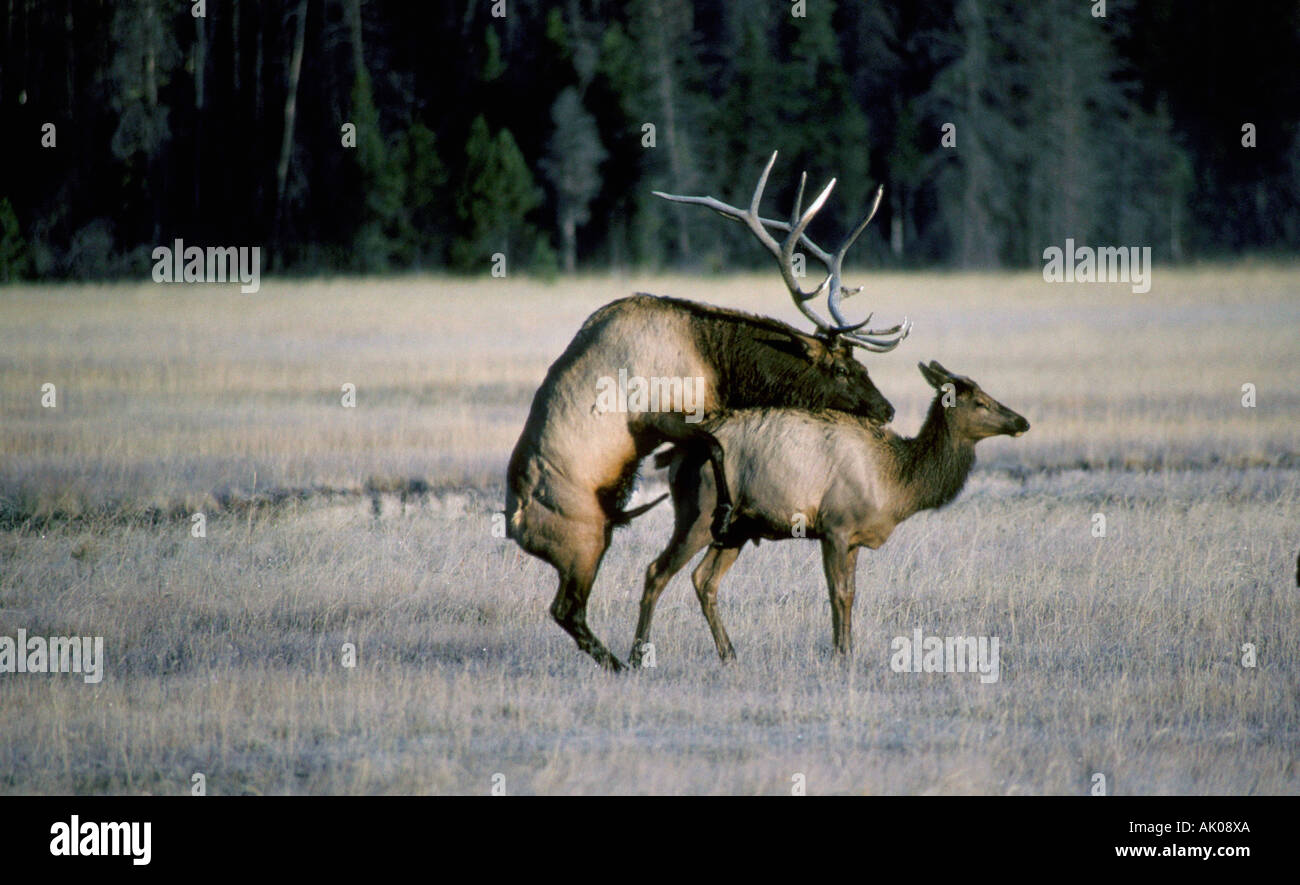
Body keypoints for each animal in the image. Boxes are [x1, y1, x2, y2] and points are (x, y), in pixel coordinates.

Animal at [506, 151, 911, 671]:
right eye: (841, 368)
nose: (888, 409)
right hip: (582, 538)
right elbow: (716, 447)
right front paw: (721, 514)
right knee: (566, 608)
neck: (719, 365)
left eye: (861, 363)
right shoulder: (662, 414)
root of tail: (515, 527)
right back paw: (622, 661)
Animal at [630, 361, 1029, 666]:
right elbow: (838, 592)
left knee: (704, 580)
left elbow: (850, 592)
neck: (896, 484)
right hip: (697, 513)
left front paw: (845, 648)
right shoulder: (836, 527)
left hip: (733, 529)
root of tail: (674, 454)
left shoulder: (852, 539)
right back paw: (637, 656)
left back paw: (729, 653)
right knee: (656, 571)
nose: (1021, 422)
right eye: (980, 402)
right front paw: (841, 653)